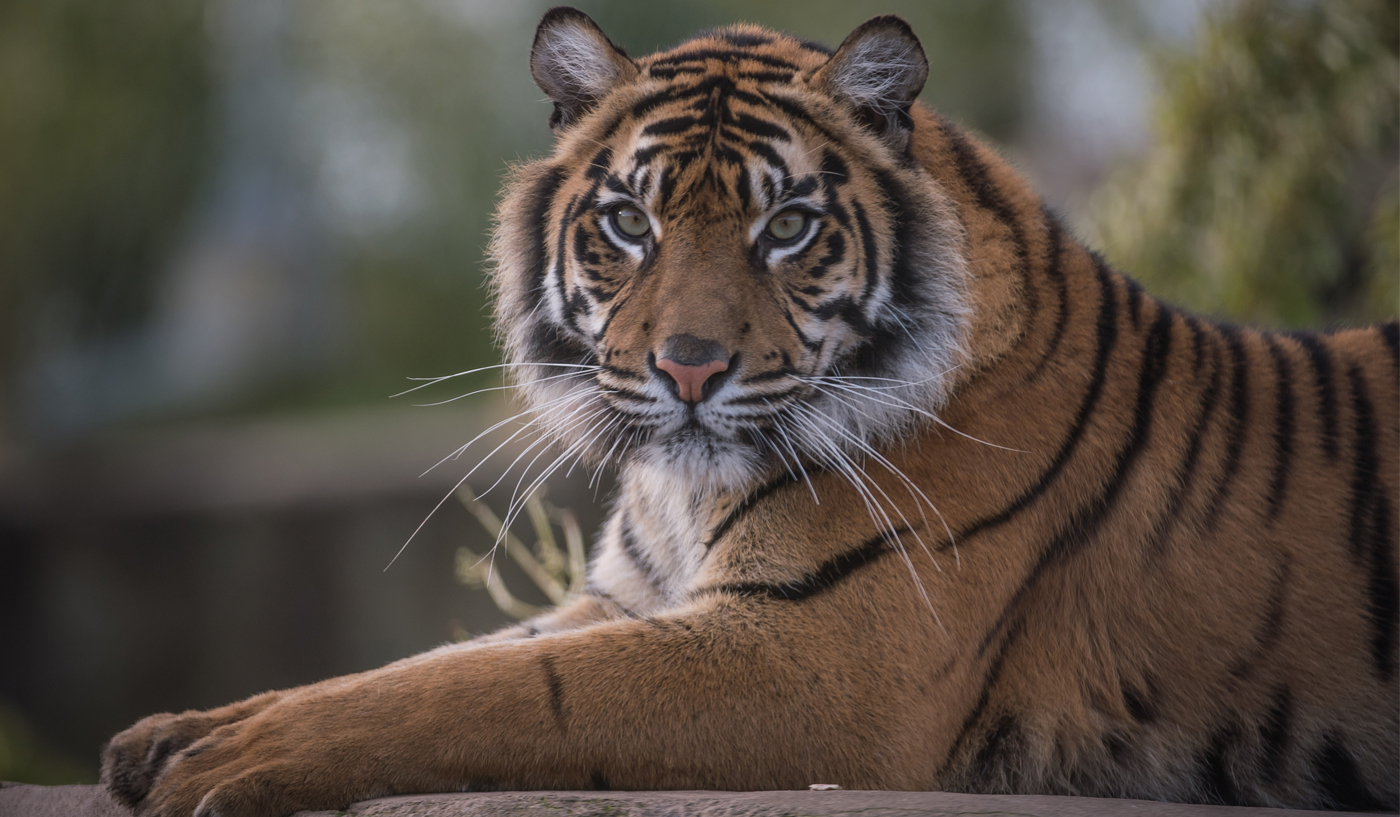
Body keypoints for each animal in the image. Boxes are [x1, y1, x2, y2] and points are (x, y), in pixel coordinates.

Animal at [101, 9, 1399, 816]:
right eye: (628, 222)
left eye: (786, 227)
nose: (687, 368)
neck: (678, 490)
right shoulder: (622, 600)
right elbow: (427, 661)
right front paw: (174, 732)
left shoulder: (808, 659)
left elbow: (491, 691)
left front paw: (231, 759)